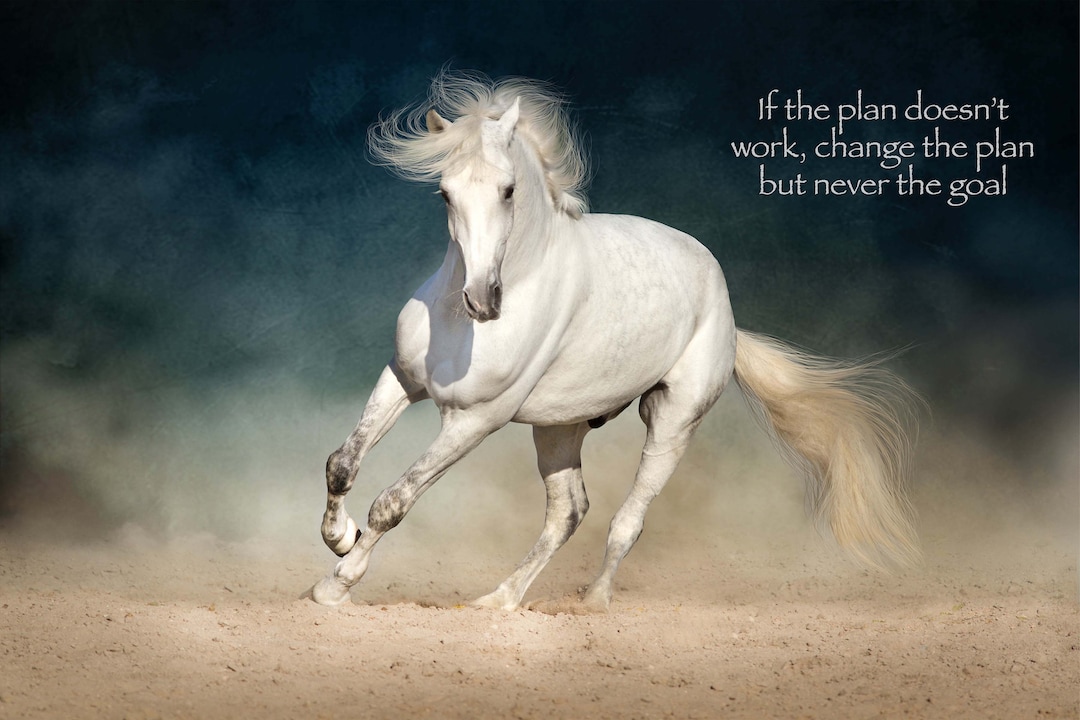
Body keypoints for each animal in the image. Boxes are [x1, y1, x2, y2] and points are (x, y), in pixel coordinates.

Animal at [311, 72, 920, 610]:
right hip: (558, 428)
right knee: (568, 512)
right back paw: (498, 601)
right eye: (444, 194)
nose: (482, 300)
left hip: (672, 421)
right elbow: (342, 462)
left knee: (627, 519)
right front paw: (339, 539)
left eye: (508, 191)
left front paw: (335, 585)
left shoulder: (474, 420)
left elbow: (394, 501)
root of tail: (725, 308)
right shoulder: (402, 380)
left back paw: (593, 602)